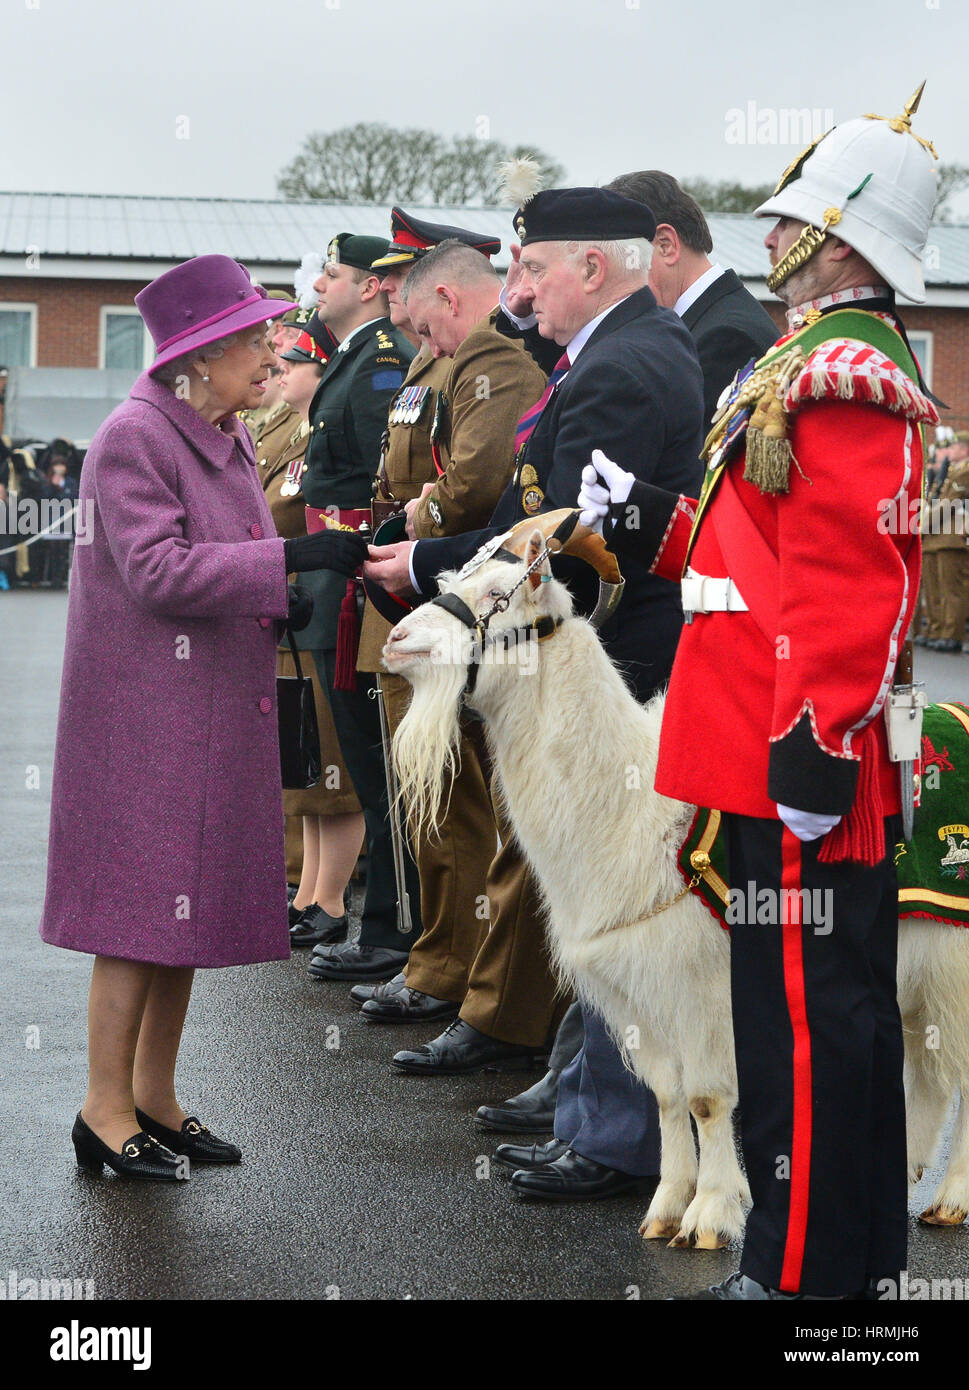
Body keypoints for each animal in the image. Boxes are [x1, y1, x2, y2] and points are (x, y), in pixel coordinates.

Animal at [383, 533, 967, 1251]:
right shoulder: (640, 993)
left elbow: (707, 1099)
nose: (397, 639)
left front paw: (711, 1215)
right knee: (927, 1073)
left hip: (954, 958)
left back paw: (951, 1198)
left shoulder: (704, 991)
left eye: (498, 594)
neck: (638, 806)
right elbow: (666, 1097)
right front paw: (665, 1208)